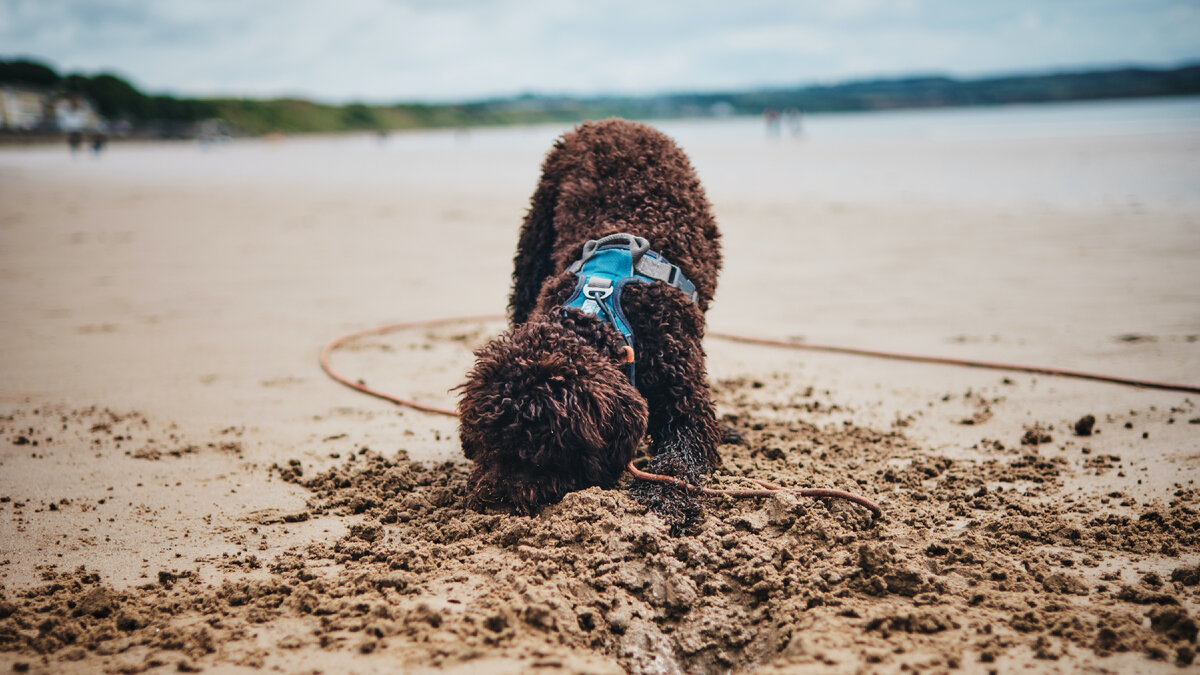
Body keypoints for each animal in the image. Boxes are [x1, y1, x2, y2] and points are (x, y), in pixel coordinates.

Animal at [456, 118, 720, 528]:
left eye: (537, 453)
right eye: (485, 441)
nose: (491, 503)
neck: (599, 312)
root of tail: (616, 122)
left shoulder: (687, 405)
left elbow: (679, 460)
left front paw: (663, 496)